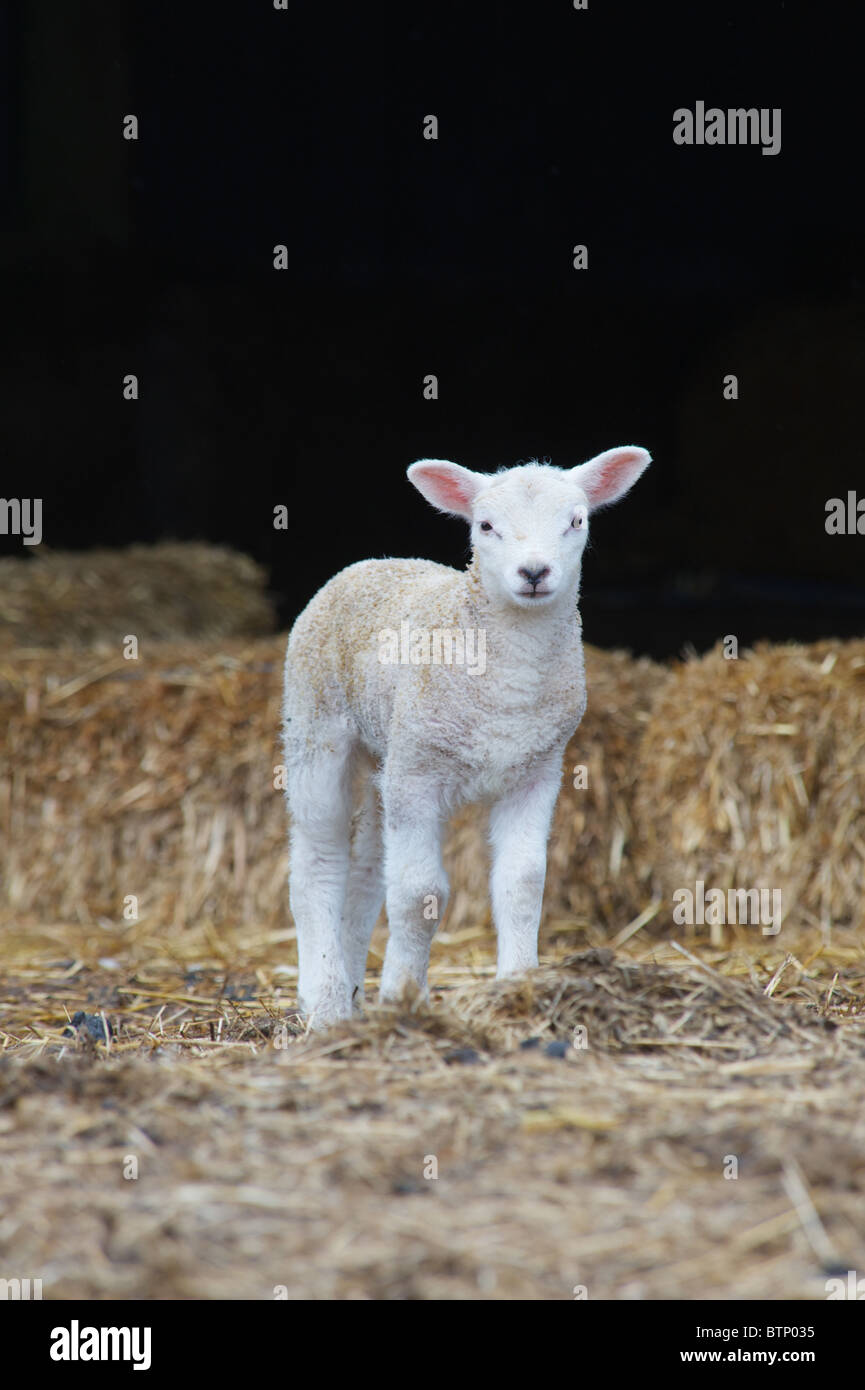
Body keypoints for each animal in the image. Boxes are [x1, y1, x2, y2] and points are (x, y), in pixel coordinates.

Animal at [282, 446, 651, 1028]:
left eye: (577, 521)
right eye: (485, 526)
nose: (534, 571)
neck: (508, 688)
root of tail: (372, 562)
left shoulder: (535, 772)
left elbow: (523, 884)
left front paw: (518, 984)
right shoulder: (417, 774)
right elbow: (419, 894)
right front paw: (402, 996)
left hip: (384, 753)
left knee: (365, 873)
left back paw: (351, 992)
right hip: (318, 725)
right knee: (317, 863)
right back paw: (324, 1001)